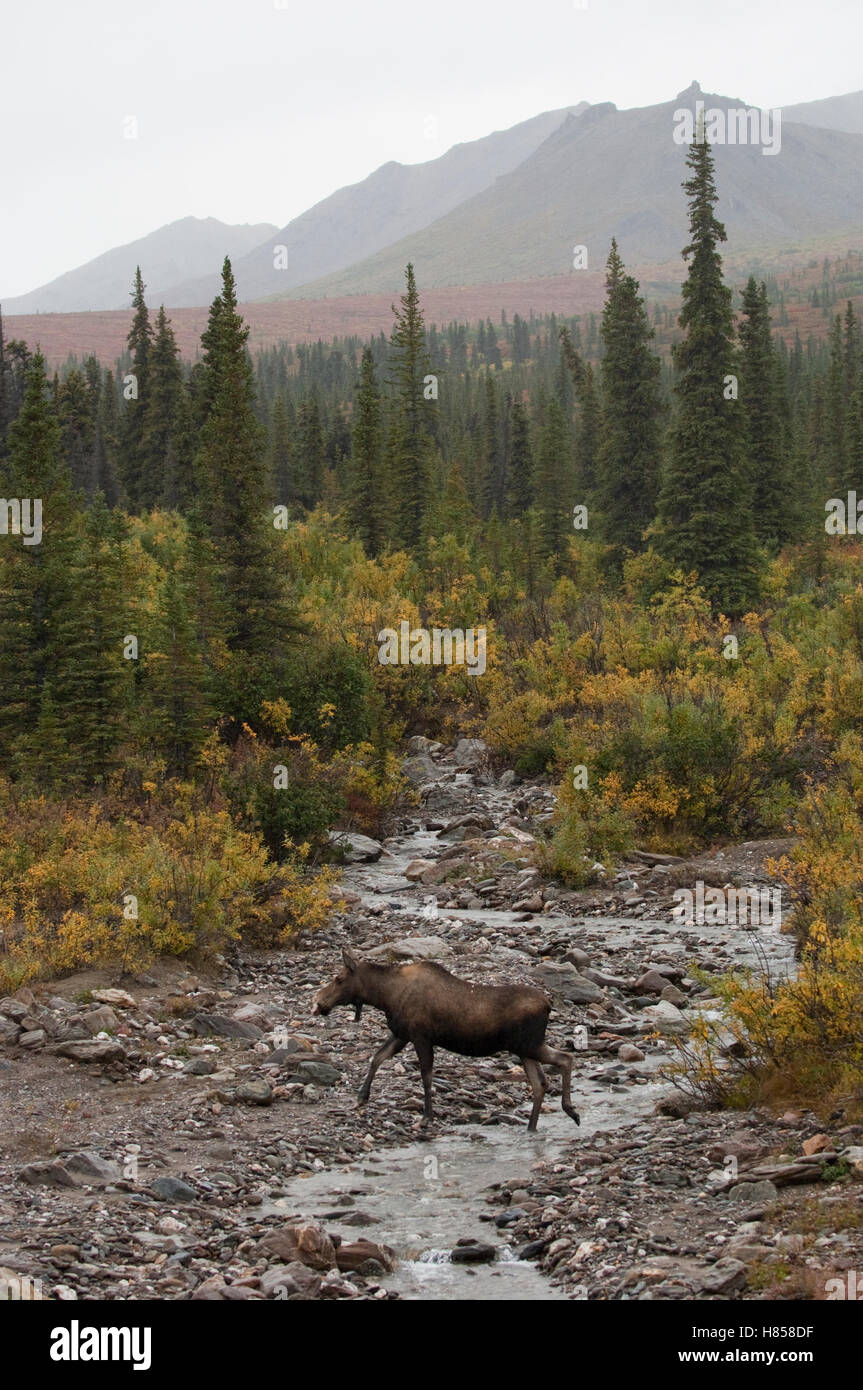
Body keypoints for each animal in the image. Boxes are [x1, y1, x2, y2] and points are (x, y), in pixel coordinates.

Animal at [312, 950, 580, 1132]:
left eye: (338, 979)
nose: (318, 1000)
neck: (384, 996)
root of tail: (548, 1005)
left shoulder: (421, 1037)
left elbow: (426, 1076)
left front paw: (426, 1117)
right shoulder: (401, 1034)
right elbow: (376, 1058)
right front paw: (361, 1098)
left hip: (530, 1045)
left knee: (566, 1058)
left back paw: (570, 1110)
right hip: (525, 1050)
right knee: (540, 1083)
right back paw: (533, 1126)